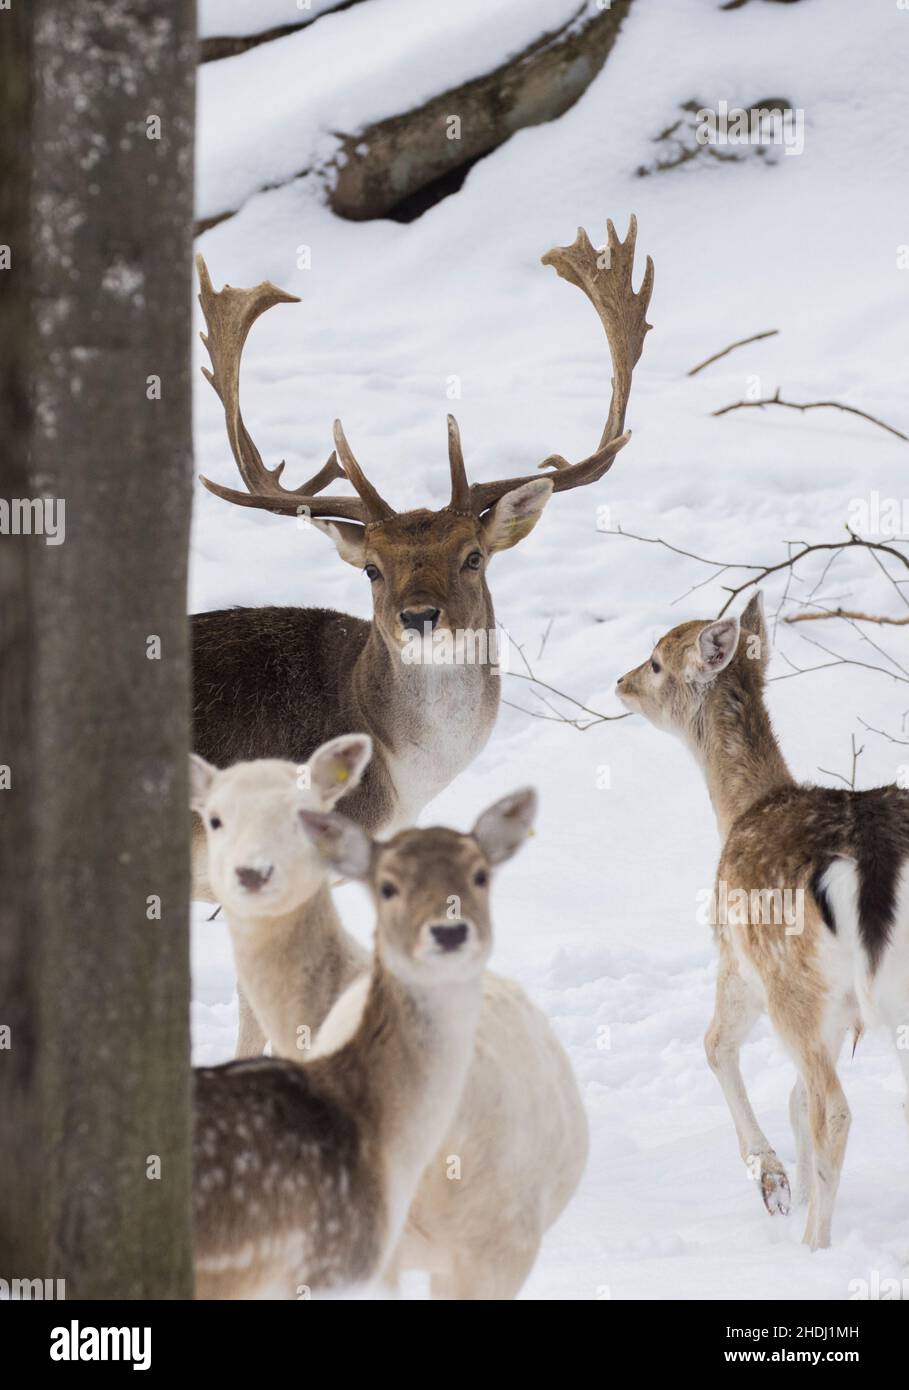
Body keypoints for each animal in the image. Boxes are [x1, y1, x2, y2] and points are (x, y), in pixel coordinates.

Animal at [616, 591, 909, 1249]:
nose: (619, 681)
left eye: (656, 661)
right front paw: (794, 1191)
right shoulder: (839, 1009)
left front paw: (773, 1183)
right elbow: (794, 1095)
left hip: (789, 976)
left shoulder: (740, 957)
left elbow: (714, 1046)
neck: (741, 808)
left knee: (836, 1108)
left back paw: (813, 1248)